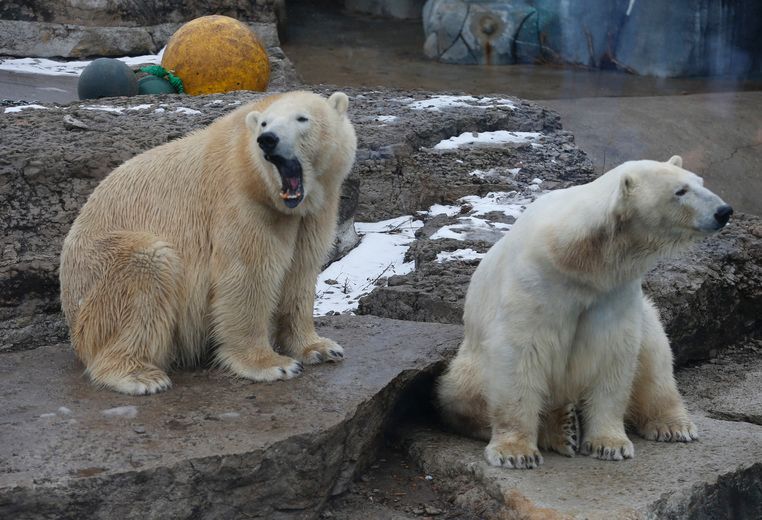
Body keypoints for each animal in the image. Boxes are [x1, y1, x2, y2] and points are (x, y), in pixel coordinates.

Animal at [59, 90, 357, 395]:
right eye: (264, 123)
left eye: (302, 118)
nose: (268, 139)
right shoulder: (241, 202)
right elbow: (247, 275)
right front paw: (272, 364)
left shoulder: (314, 214)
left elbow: (300, 272)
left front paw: (321, 348)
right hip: (97, 269)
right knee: (145, 267)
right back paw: (140, 375)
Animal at [436, 155, 733, 468]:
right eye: (680, 191)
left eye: (700, 182)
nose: (724, 211)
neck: (582, 257)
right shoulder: (534, 284)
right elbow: (520, 353)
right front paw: (515, 452)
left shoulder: (613, 290)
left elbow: (612, 352)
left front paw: (610, 444)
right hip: (469, 364)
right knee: (462, 395)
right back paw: (561, 428)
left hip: (647, 318)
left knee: (655, 355)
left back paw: (673, 425)